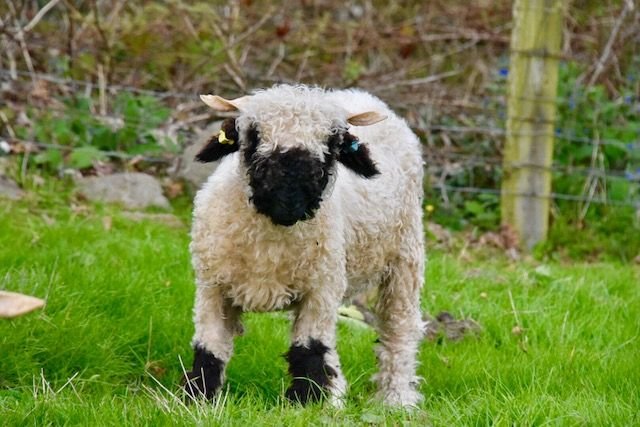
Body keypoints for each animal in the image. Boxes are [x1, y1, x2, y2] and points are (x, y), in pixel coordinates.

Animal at [183, 85, 425, 408]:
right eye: (254, 135)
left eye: (333, 144)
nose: (289, 199)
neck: (271, 241)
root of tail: (360, 94)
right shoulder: (212, 286)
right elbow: (209, 348)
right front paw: (197, 399)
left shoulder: (322, 288)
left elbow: (310, 349)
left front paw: (308, 403)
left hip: (406, 253)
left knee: (400, 327)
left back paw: (396, 398)